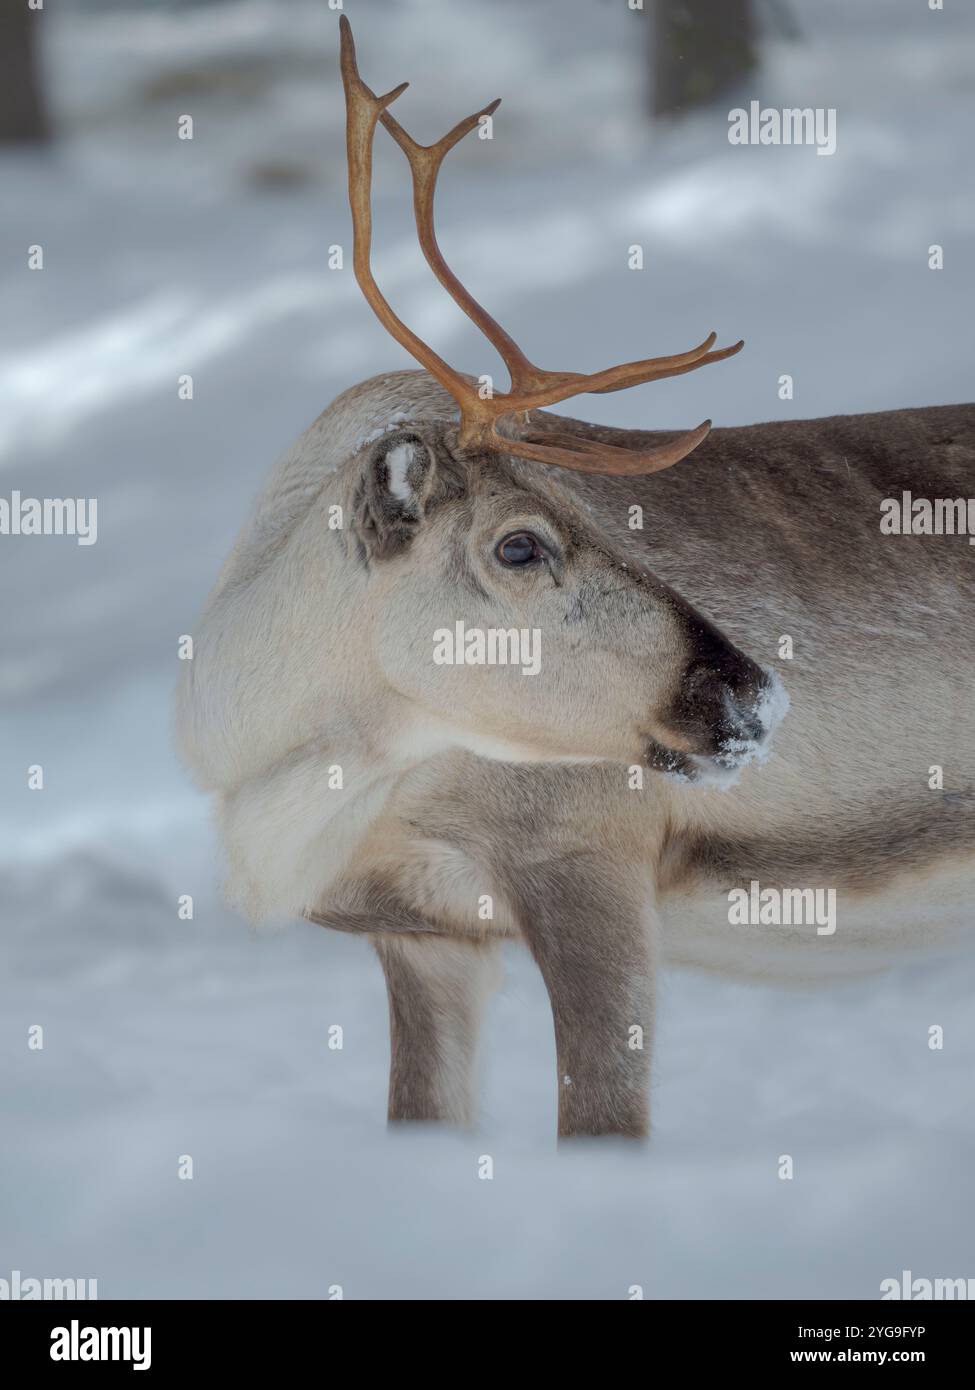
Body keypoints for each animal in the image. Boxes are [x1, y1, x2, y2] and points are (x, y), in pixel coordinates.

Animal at [176, 18, 975, 1139]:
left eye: (597, 514)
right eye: (519, 544)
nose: (751, 690)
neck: (274, 765)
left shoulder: (587, 856)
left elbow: (600, 1126)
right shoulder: (423, 930)